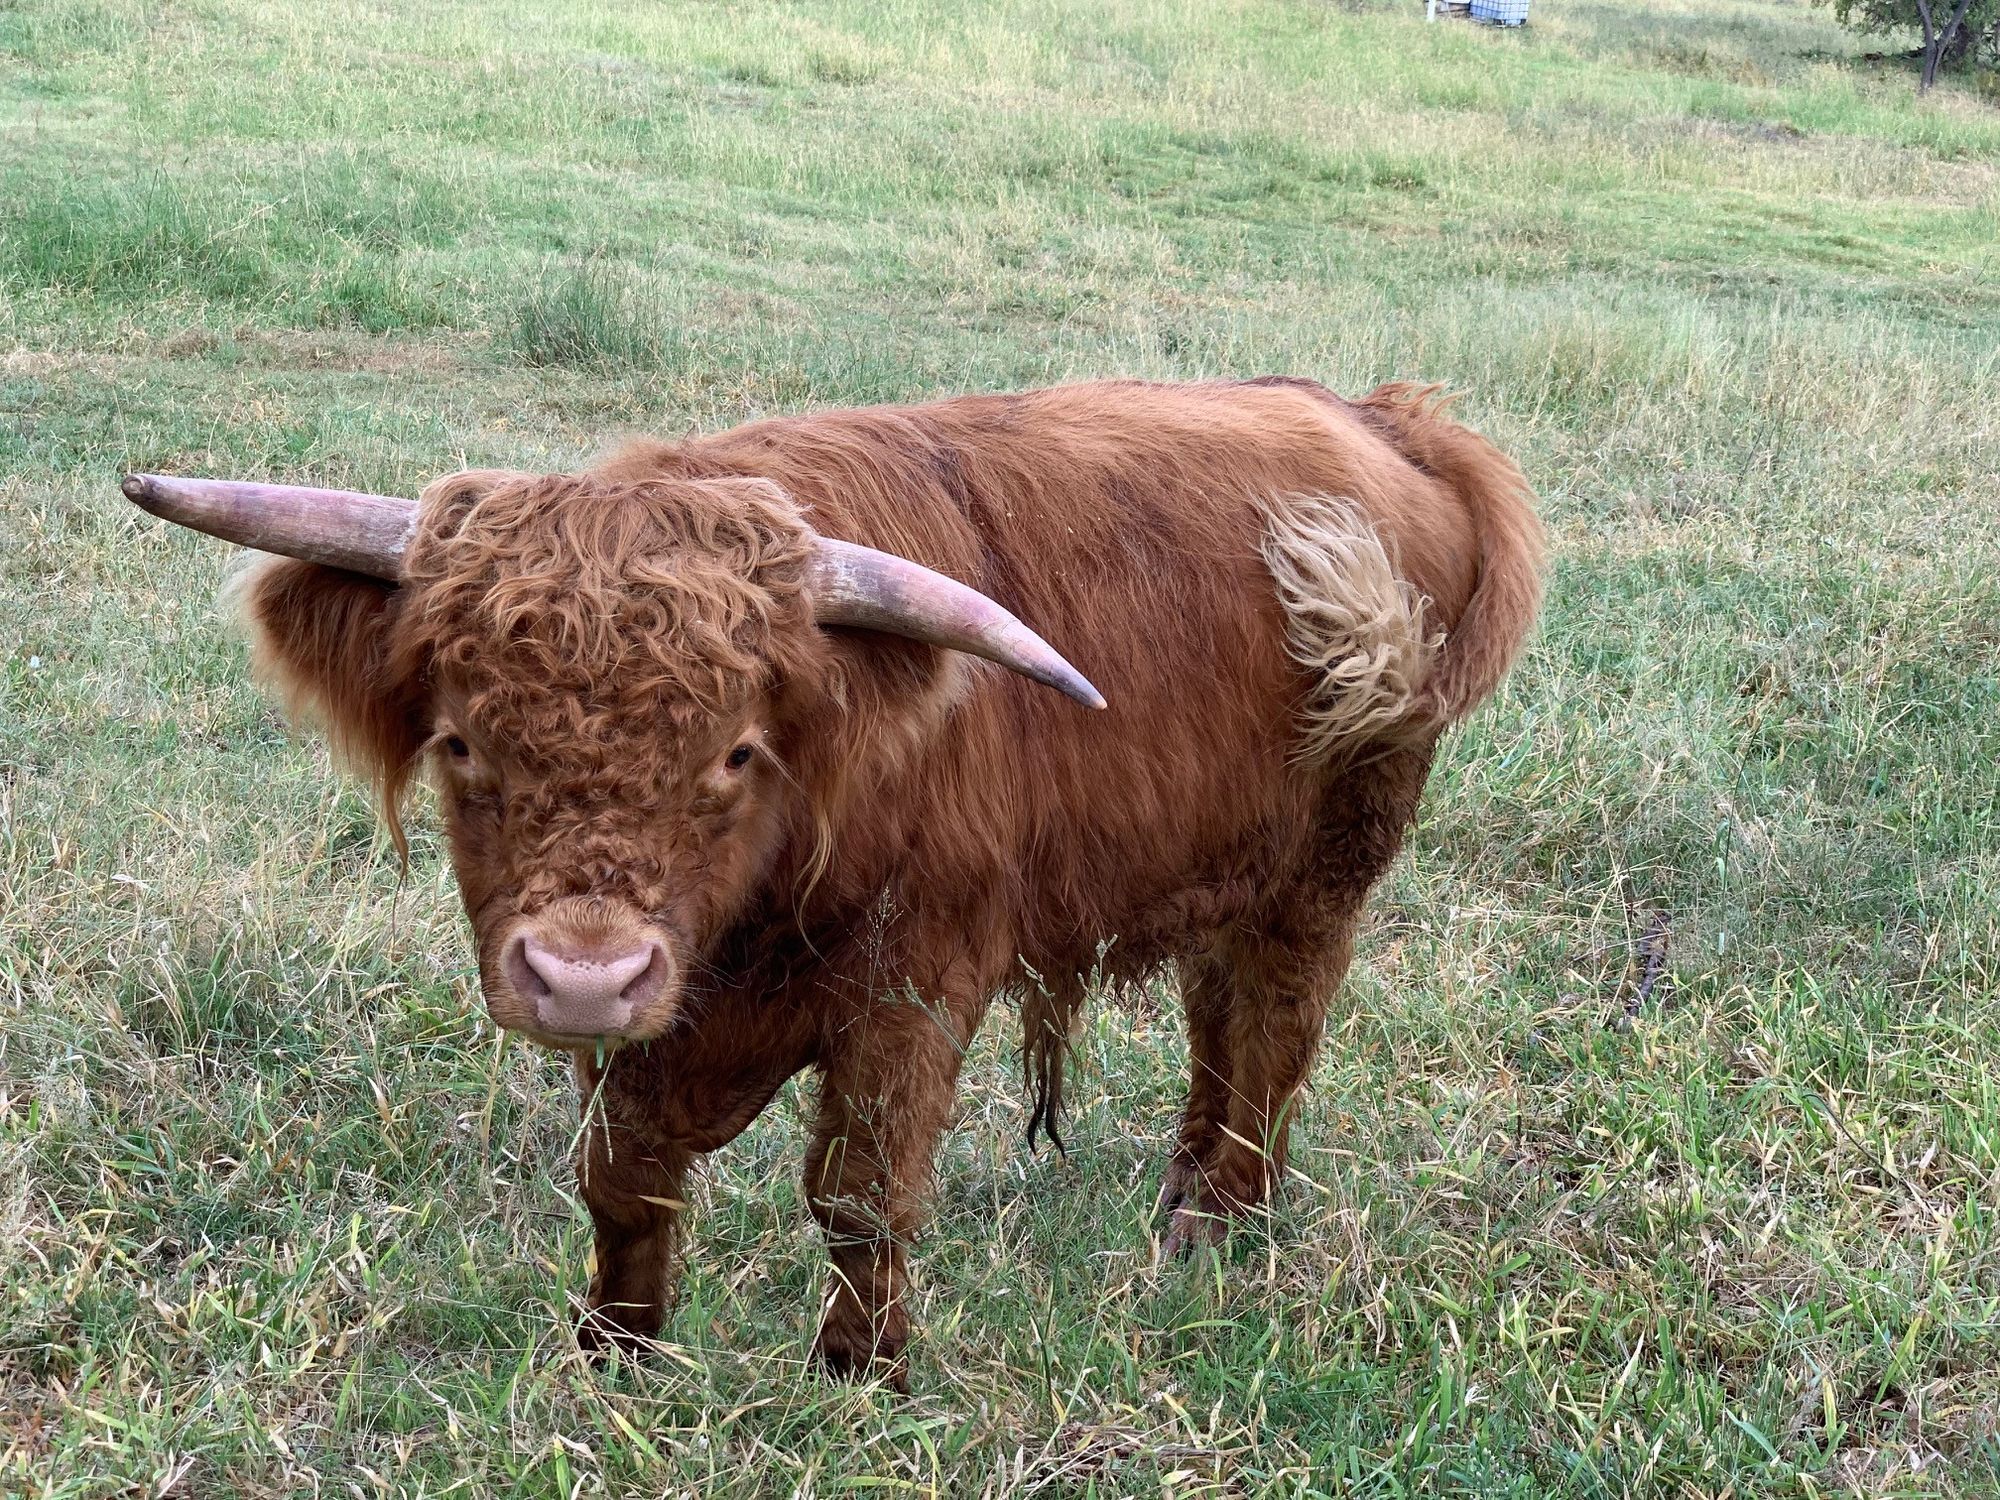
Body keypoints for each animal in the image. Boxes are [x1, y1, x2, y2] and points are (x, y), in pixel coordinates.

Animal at [122, 377, 1543, 1386]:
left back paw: (1226, 1219)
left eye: (737, 749)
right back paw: (1188, 1193)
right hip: (1222, 870)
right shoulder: (655, 1019)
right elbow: (619, 1171)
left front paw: (859, 1372)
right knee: (1216, 1020)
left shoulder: (916, 982)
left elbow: (859, 1194)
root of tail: (1388, 421)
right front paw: (615, 1350)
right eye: (463, 740)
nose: (582, 973)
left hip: (1329, 865)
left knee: (1275, 1027)